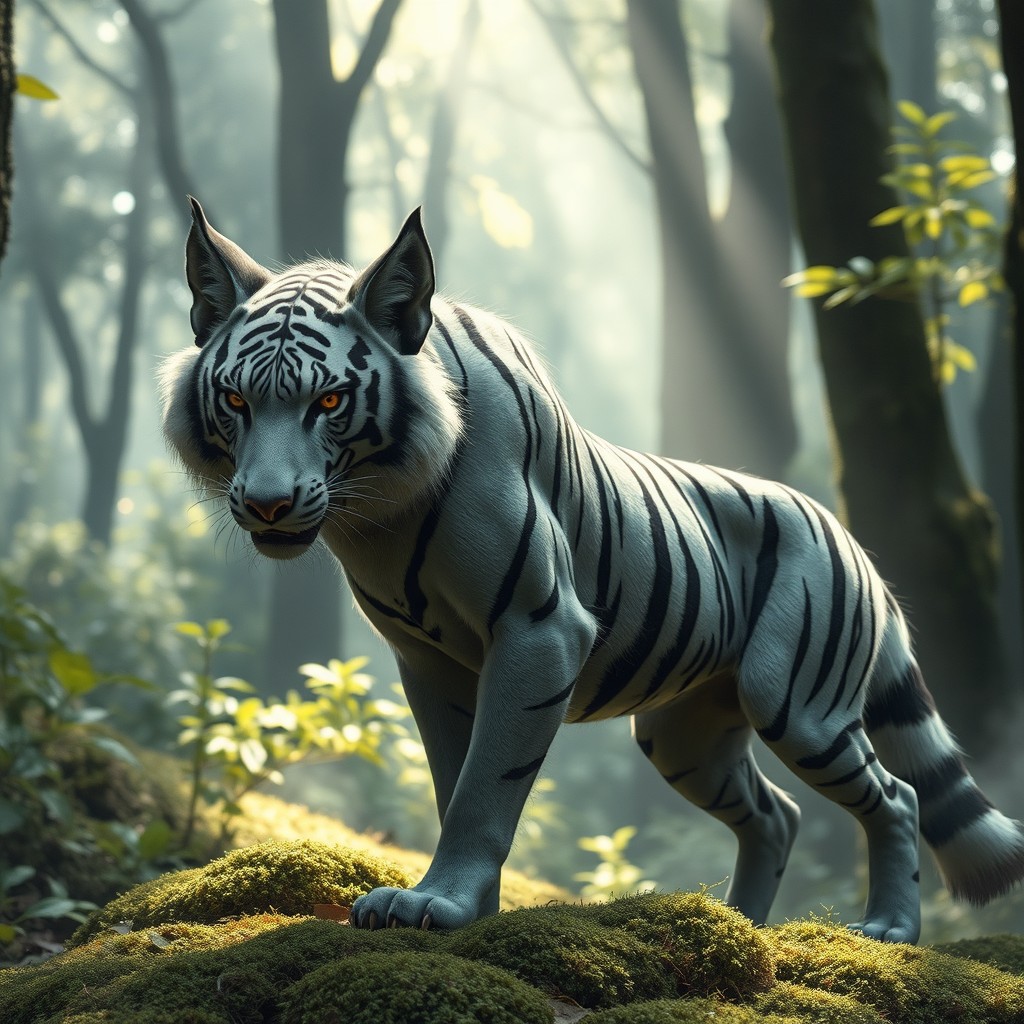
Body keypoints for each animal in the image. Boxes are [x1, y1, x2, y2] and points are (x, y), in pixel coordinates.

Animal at [161, 198, 1024, 943]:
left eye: (332, 402)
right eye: (235, 400)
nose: (268, 504)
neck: (380, 514)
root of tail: (854, 545)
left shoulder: (538, 630)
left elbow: (486, 784)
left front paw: (439, 904)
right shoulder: (430, 662)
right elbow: (452, 779)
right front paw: (468, 911)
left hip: (797, 705)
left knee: (900, 795)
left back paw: (890, 928)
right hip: (687, 733)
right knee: (778, 813)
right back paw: (741, 928)